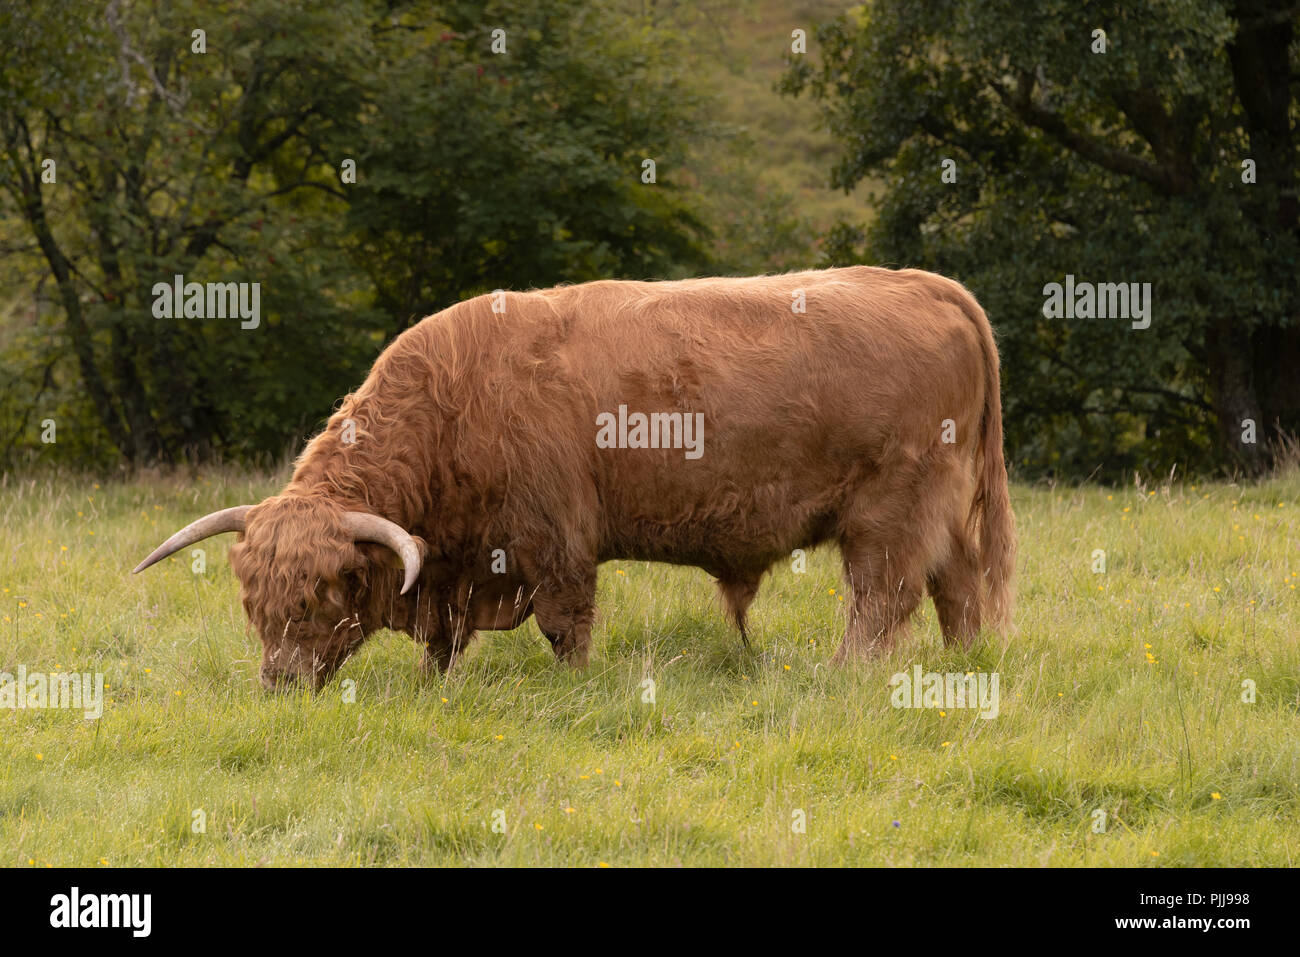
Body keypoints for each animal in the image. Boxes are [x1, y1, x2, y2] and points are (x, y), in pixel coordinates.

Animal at [134, 267, 1016, 690]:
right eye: (253, 599)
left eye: (321, 593)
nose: (279, 683)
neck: (453, 404)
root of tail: (925, 283)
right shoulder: (455, 567)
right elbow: (443, 644)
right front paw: (430, 683)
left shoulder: (554, 539)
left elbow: (566, 626)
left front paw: (575, 687)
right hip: (936, 513)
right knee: (959, 584)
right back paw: (964, 664)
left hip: (889, 511)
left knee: (883, 599)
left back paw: (840, 676)